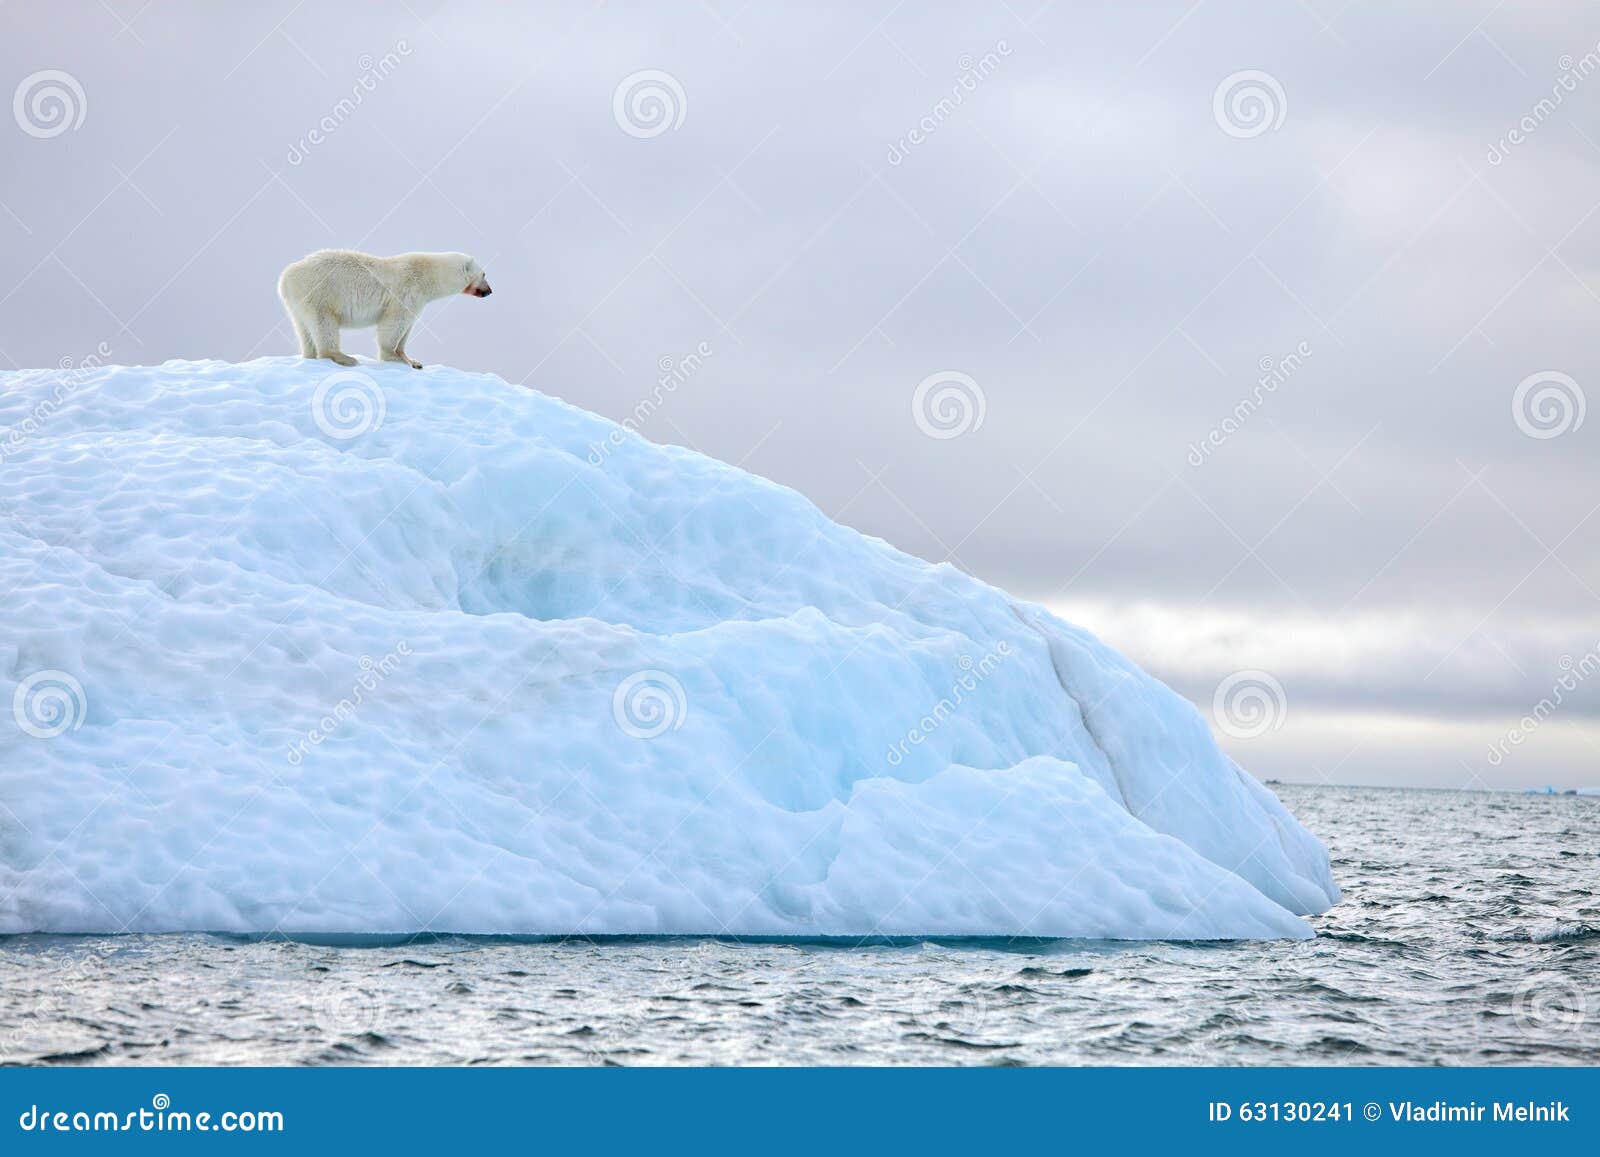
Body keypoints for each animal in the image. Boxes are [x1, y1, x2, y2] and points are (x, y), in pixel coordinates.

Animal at [277, 249, 492, 369]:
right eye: (483, 274)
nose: (489, 291)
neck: (427, 275)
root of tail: (286, 276)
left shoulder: (418, 301)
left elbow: (407, 329)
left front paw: (412, 359)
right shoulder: (407, 292)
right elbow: (393, 324)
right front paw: (395, 357)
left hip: (297, 301)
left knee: (304, 329)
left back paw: (309, 355)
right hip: (319, 293)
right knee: (324, 324)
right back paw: (344, 357)